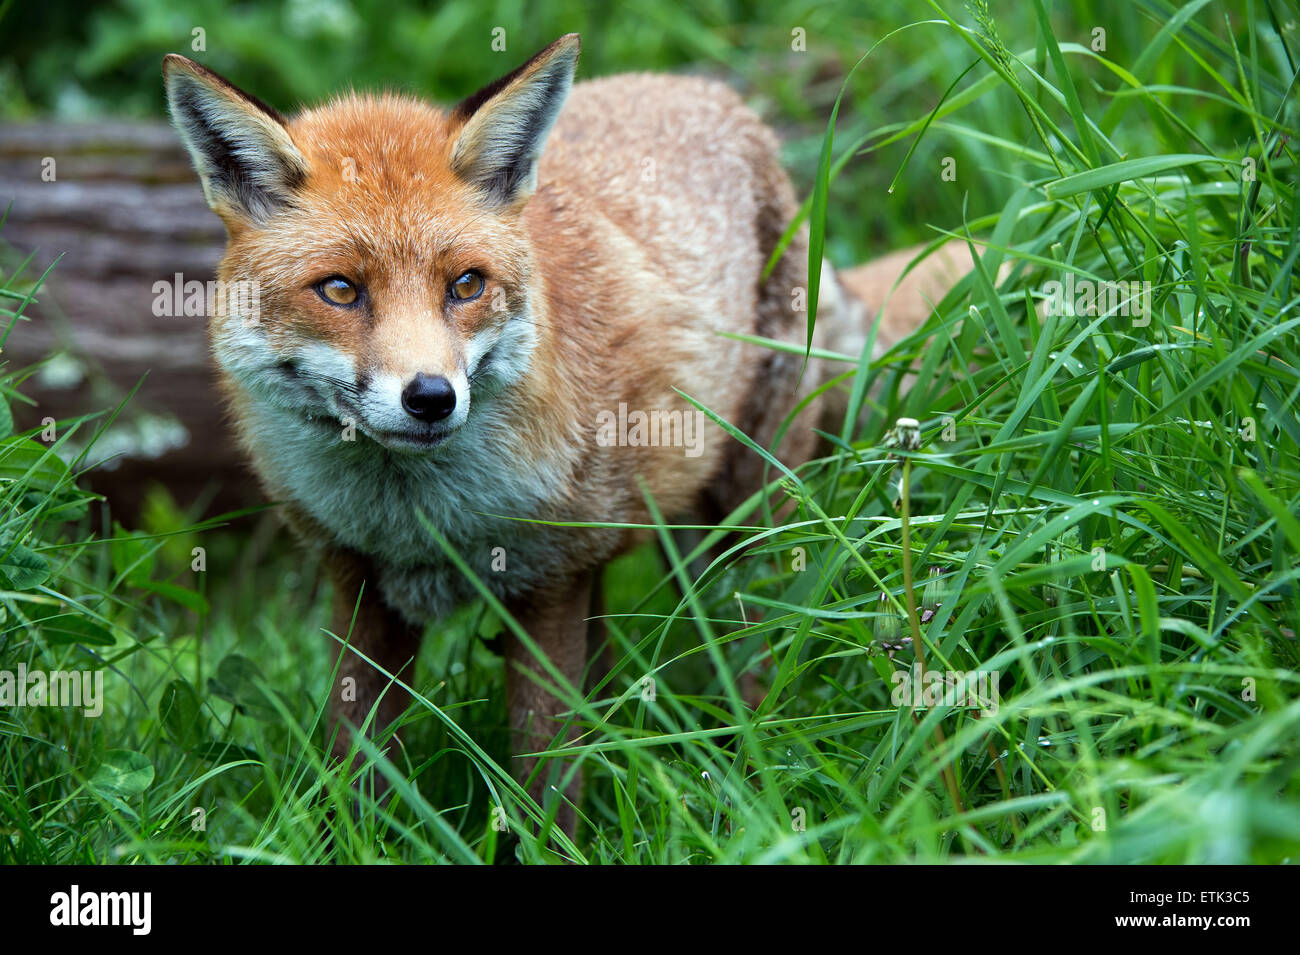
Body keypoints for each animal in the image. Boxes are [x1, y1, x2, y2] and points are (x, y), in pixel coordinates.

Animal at [162, 34, 972, 833]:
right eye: (339, 290)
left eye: (466, 285)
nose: (431, 398)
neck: (421, 521)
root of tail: (710, 92)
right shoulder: (361, 583)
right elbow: (359, 777)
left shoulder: (549, 581)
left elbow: (545, 781)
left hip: (742, 528)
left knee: (756, 658)